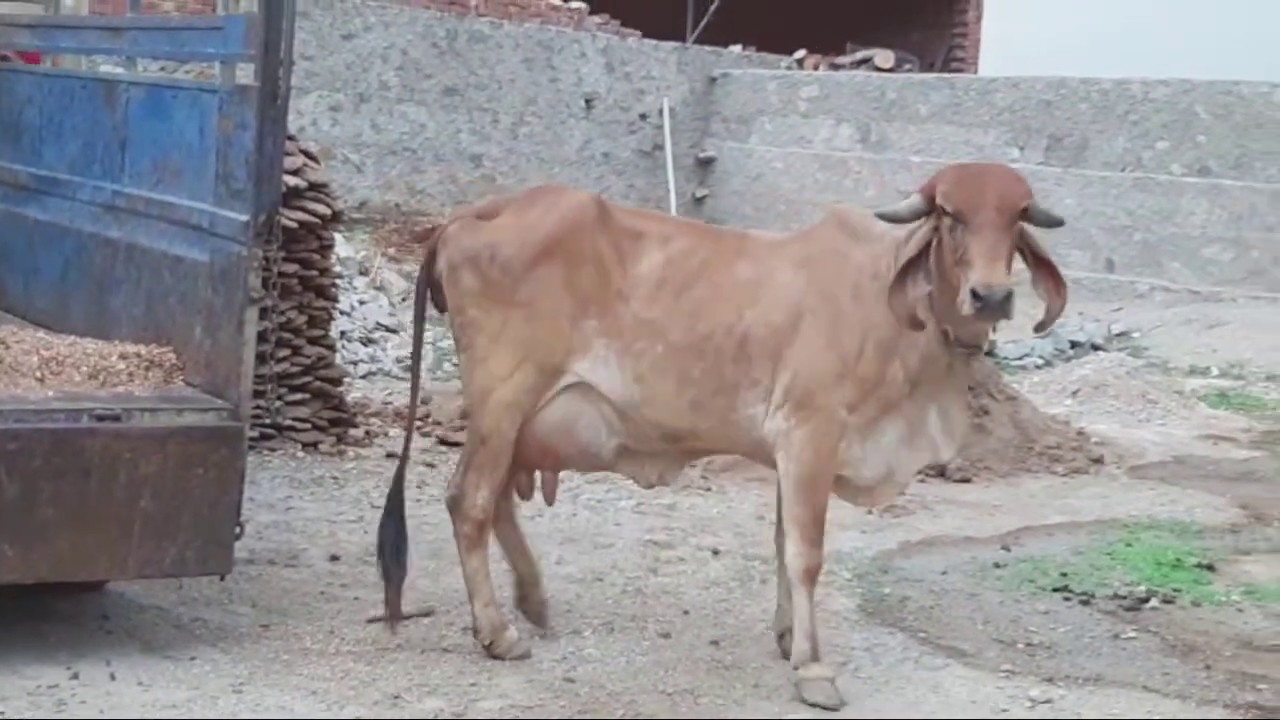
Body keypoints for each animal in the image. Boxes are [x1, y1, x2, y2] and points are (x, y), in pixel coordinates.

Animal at [373, 162, 1069, 711]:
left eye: (1018, 215)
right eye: (950, 214)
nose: (991, 296)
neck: (899, 318)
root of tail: (480, 211)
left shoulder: (792, 451)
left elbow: (783, 545)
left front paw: (789, 639)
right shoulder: (810, 434)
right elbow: (806, 554)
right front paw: (814, 669)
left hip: (519, 417)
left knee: (496, 501)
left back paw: (534, 600)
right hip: (503, 396)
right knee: (469, 500)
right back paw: (498, 632)